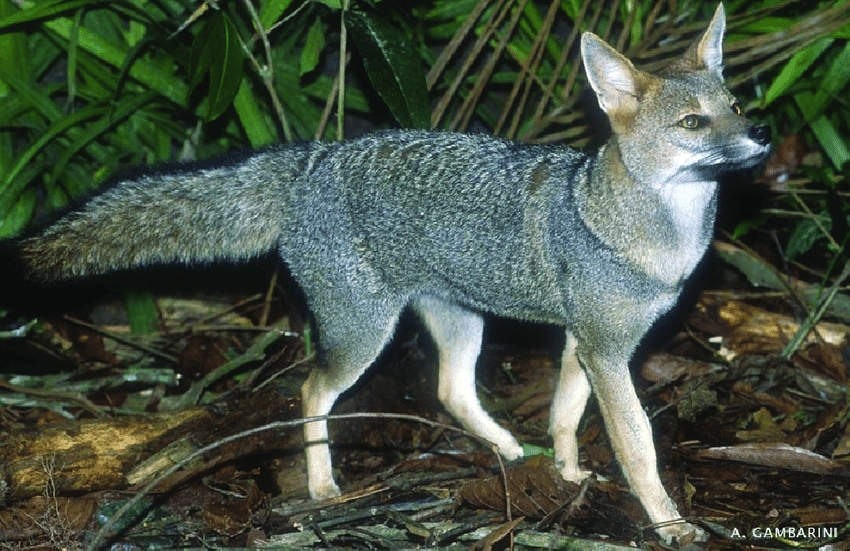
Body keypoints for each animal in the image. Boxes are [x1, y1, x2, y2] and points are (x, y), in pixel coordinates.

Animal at [1, 2, 769, 544]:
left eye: (736, 107)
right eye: (695, 124)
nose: (762, 136)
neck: (656, 233)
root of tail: (315, 156)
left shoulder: (588, 342)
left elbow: (564, 412)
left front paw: (568, 473)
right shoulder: (607, 349)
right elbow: (636, 441)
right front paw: (667, 520)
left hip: (460, 320)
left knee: (451, 390)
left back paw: (506, 451)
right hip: (362, 333)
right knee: (311, 389)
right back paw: (323, 489)